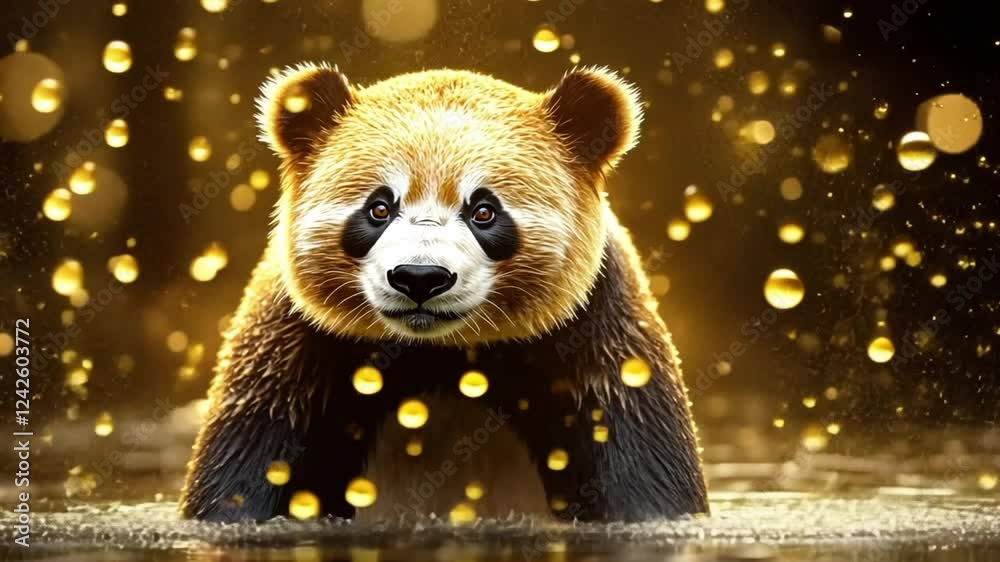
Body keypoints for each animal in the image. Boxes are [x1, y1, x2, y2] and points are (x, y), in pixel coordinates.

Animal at [180, 64, 709, 523]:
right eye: (378, 207)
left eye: (484, 211)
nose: (420, 277)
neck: (441, 355)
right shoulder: (299, 350)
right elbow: (247, 466)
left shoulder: (595, 340)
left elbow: (641, 465)